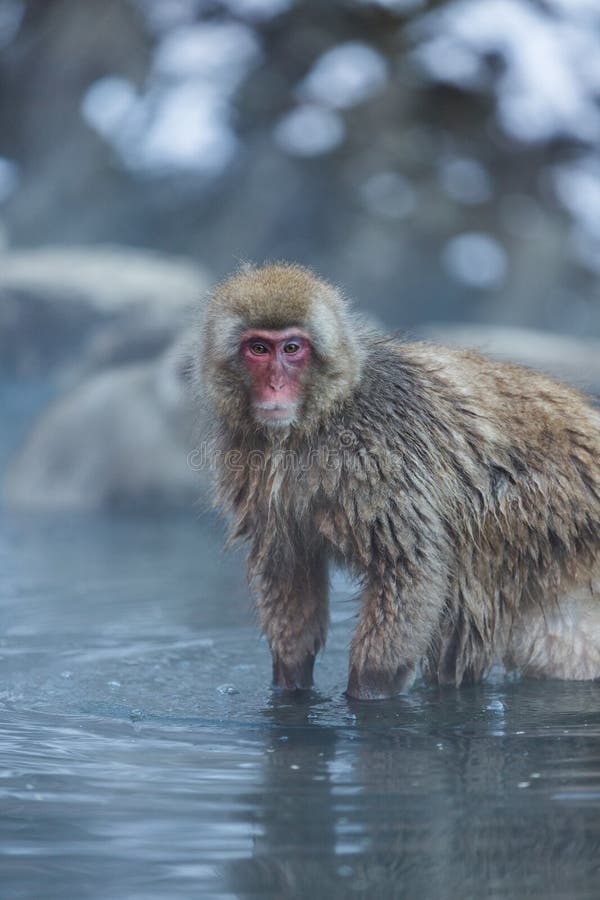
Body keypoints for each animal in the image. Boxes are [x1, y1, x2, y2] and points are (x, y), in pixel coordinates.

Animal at [199, 262, 600, 699]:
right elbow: (289, 567)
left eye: (292, 348)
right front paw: (291, 684)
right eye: (258, 348)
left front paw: (367, 695)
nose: (275, 386)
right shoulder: (249, 461)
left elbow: (410, 567)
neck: (320, 419)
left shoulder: (378, 458)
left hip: (550, 516)